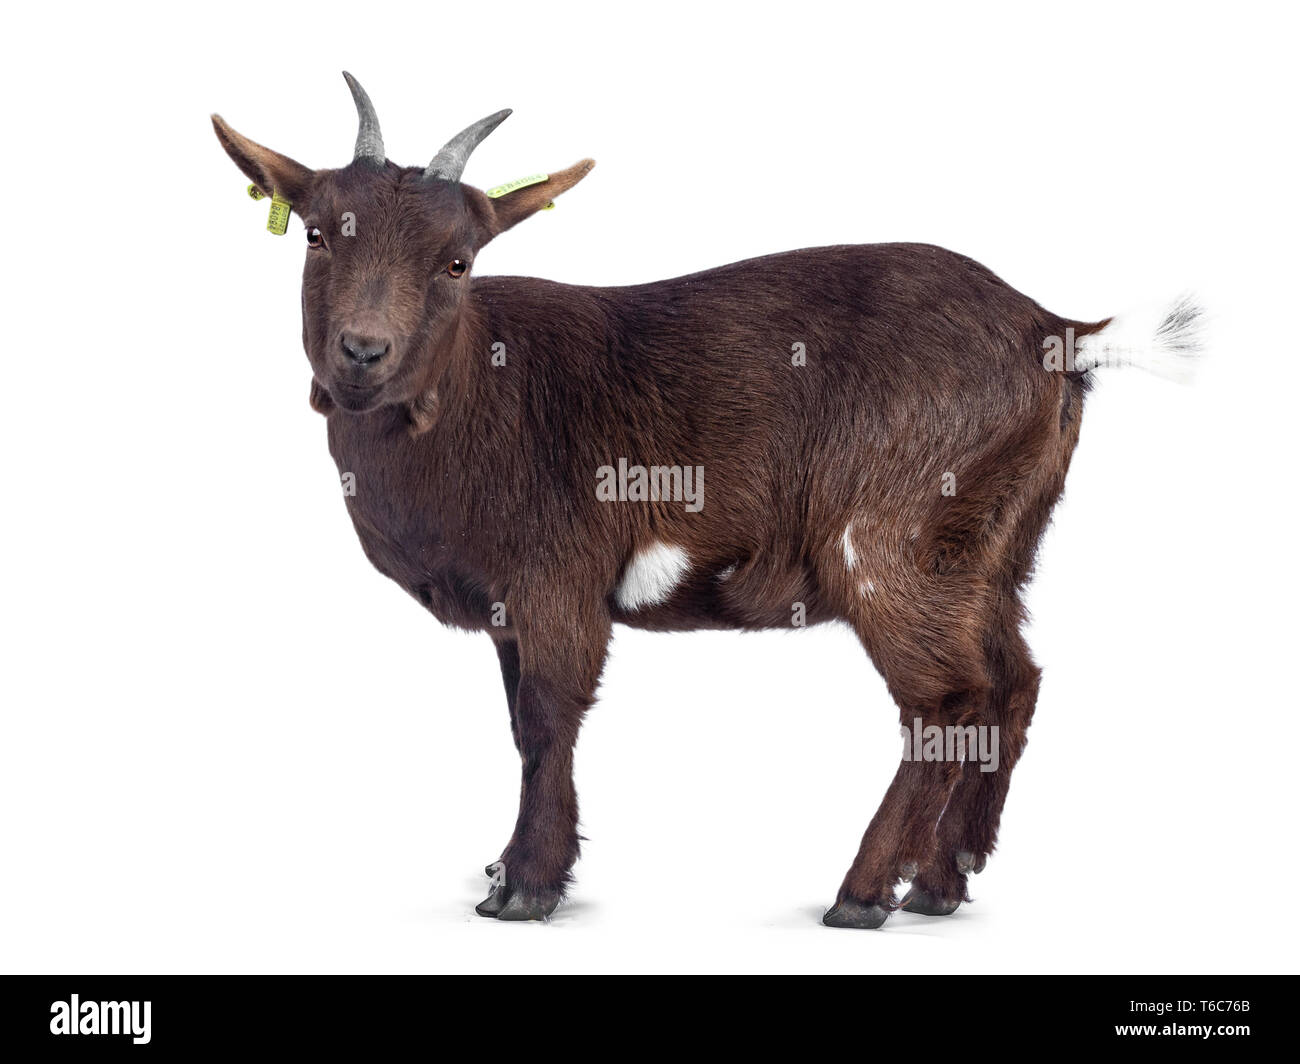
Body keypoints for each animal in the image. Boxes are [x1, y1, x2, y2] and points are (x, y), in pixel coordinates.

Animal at [212, 73, 1202, 927]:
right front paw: (512, 867)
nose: (361, 351)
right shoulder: (504, 609)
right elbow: (521, 724)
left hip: (892, 537)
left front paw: (524, 888)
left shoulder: (557, 576)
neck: (479, 394)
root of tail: (1059, 332)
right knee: (1013, 682)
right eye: (314, 235)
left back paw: (863, 893)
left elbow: (549, 715)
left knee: (947, 696)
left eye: (458, 261)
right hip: (994, 546)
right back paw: (942, 883)